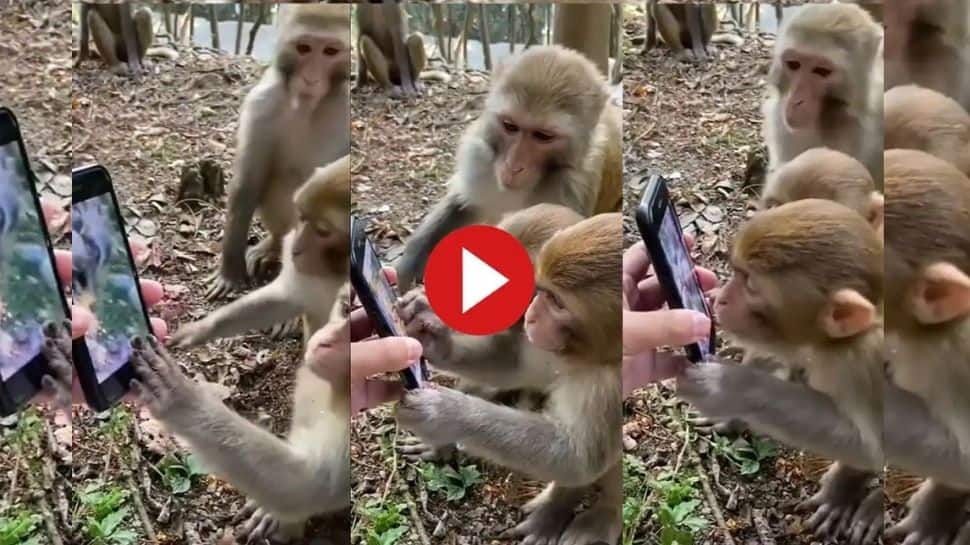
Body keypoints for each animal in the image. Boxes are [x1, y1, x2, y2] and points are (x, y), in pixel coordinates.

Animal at [207, 4, 350, 303]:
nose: (311, 78)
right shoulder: (261, 103)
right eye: (304, 48)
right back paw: (272, 246)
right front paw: (230, 270)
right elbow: (248, 184)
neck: (307, 105)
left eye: (330, 51)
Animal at [394, 45, 622, 290]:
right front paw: (409, 265)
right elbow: (464, 205)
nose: (514, 166)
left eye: (543, 136)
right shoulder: (482, 158)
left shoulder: (572, 185)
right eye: (510, 126)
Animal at [397, 213, 623, 545]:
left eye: (557, 301)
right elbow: (515, 363)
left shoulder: (606, 384)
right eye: (541, 292)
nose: (533, 314)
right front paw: (429, 331)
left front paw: (442, 413)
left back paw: (582, 512)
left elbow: (577, 457)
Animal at [676, 199, 885, 544]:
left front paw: (841, 492)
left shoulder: (865, 363)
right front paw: (731, 412)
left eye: (750, 284)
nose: (720, 299)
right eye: (737, 272)